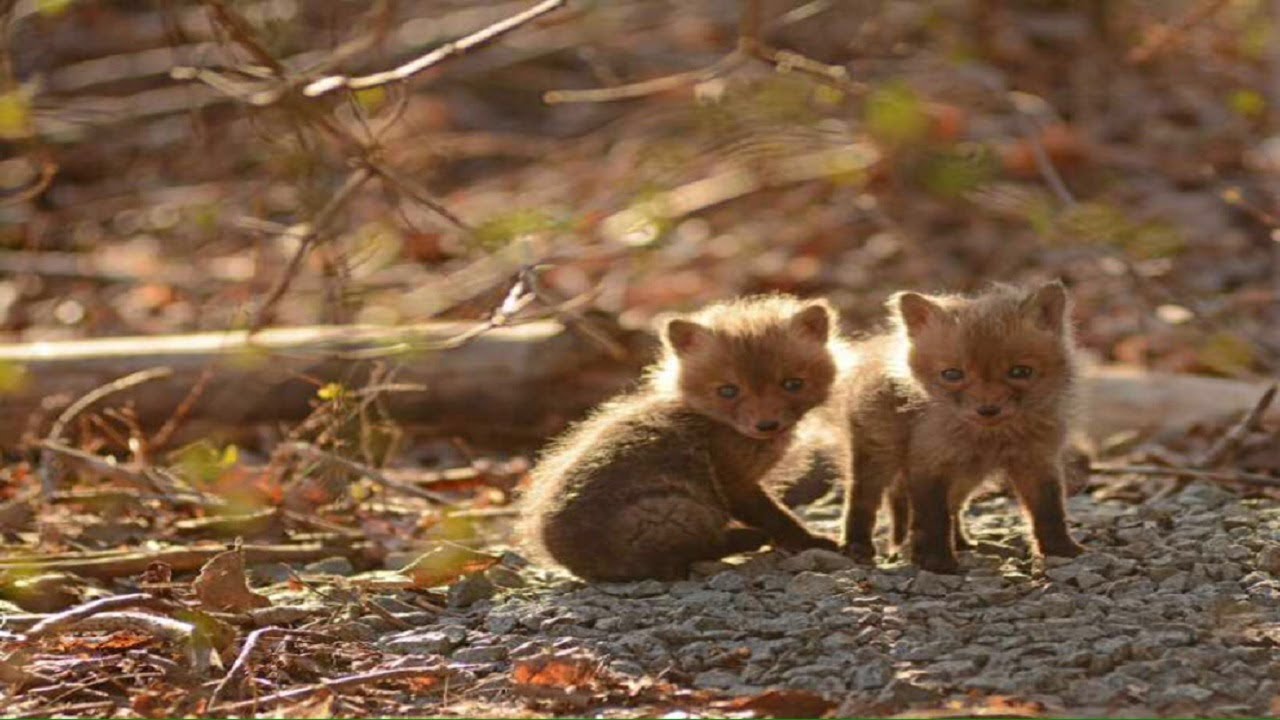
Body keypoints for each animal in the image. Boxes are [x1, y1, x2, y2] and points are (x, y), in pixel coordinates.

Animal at [518, 295, 845, 581]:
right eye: (728, 390)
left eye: (793, 384)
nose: (766, 425)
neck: (712, 420)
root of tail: (565, 557)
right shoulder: (733, 481)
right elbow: (774, 516)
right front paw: (810, 540)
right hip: (682, 510)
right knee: (683, 557)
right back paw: (746, 539)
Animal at [840, 281, 1085, 573]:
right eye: (952, 374)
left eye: (1020, 372)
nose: (988, 409)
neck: (990, 438)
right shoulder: (929, 463)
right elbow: (932, 517)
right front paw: (936, 561)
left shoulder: (1036, 460)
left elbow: (1049, 510)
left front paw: (1061, 549)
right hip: (878, 457)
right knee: (862, 501)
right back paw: (857, 547)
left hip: (968, 475)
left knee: (952, 506)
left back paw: (960, 541)